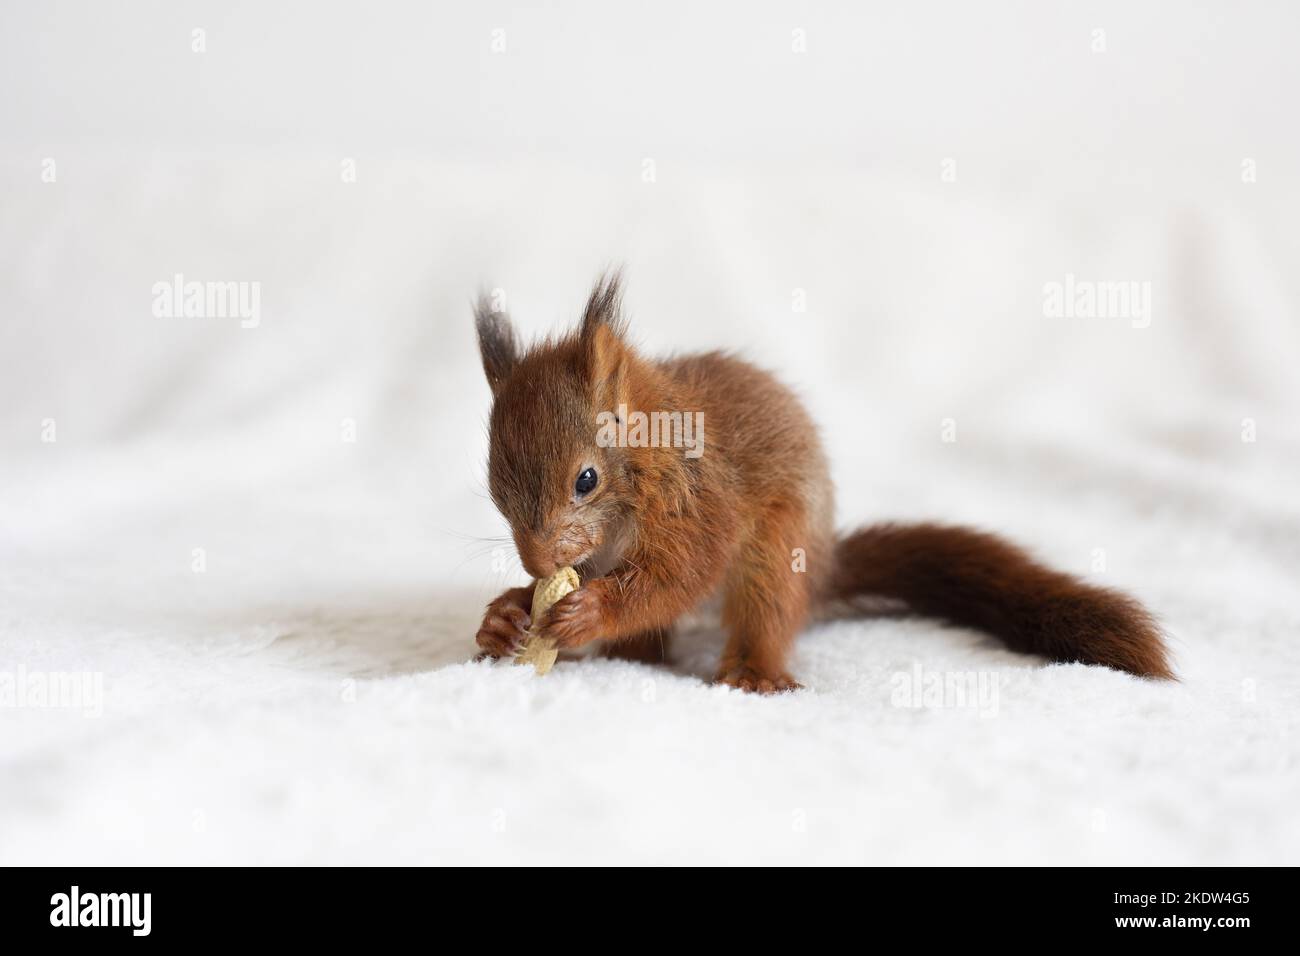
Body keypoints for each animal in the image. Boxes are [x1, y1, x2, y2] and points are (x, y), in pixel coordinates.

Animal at [472, 271, 1173, 692]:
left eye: (586, 479)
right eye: (492, 490)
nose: (538, 563)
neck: (649, 454)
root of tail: (825, 565)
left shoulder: (699, 501)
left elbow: (681, 575)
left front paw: (590, 609)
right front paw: (507, 614)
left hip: (779, 553)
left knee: (766, 612)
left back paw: (753, 673)